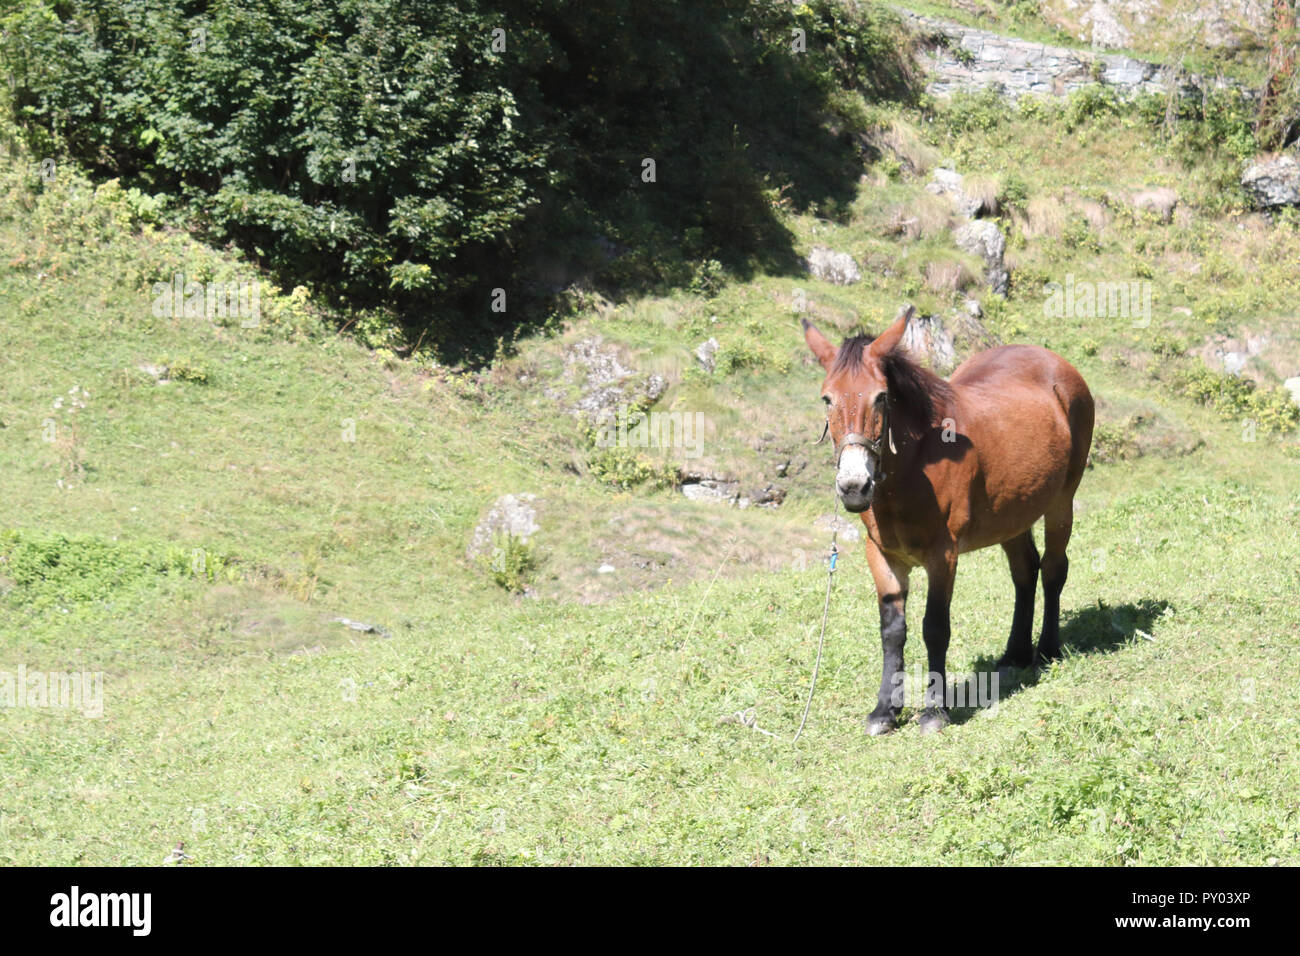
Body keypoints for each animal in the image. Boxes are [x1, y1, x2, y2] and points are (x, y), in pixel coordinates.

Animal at [803, 305, 1094, 735]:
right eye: (827, 398)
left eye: (881, 397)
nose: (854, 486)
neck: (916, 466)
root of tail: (1059, 365)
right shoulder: (883, 557)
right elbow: (892, 631)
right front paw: (884, 710)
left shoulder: (943, 557)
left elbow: (935, 627)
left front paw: (934, 711)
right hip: (1014, 513)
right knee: (1025, 570)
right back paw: (1015, 654)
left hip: (1061, 502)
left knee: (1054, 568)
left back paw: (1047, 650)